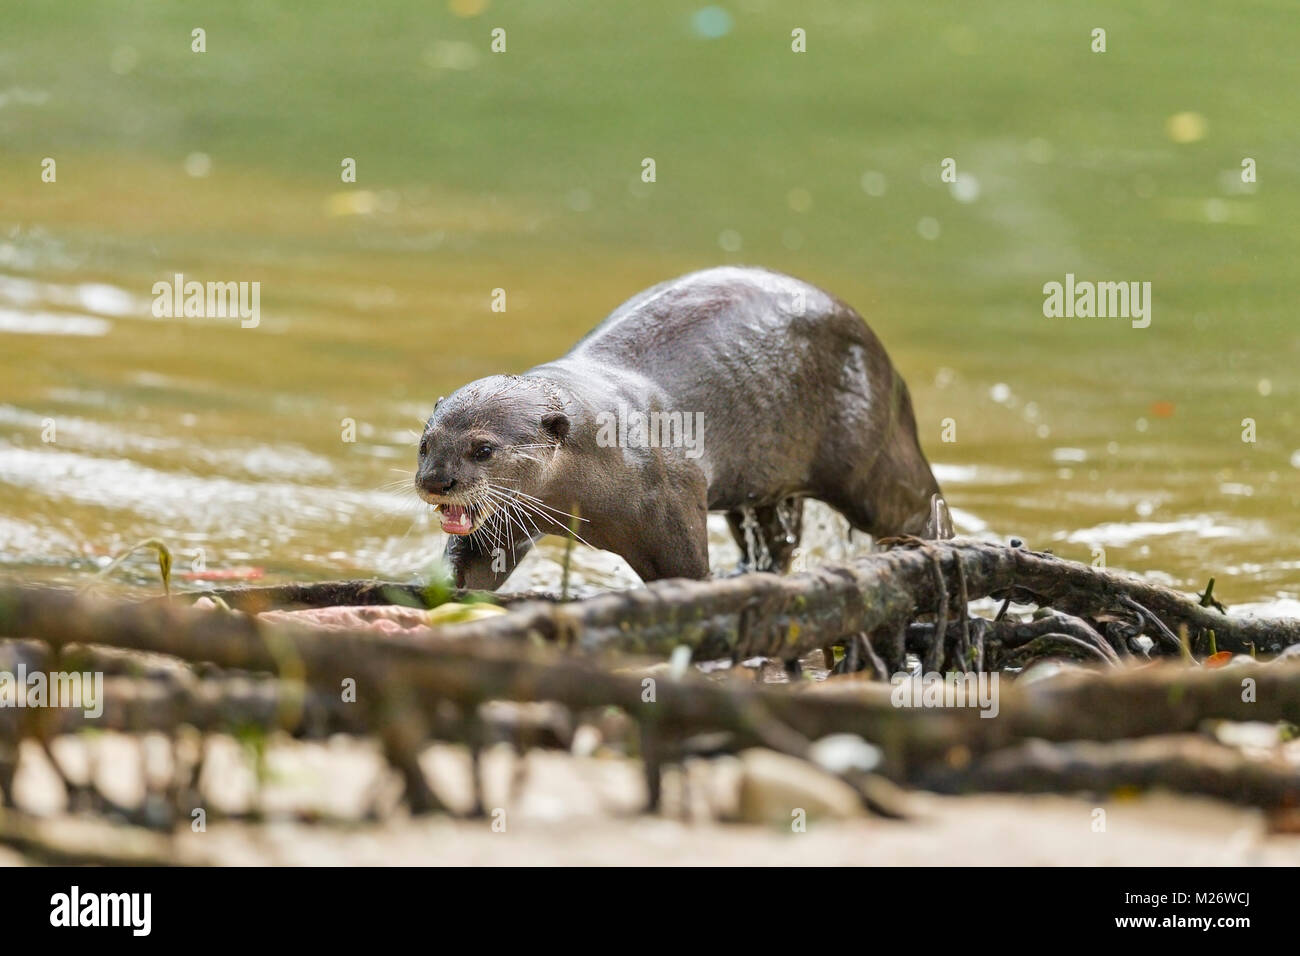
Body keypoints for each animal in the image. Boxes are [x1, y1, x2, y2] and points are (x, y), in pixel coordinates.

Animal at [415, 266, 951, 590]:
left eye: (483, 449)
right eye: (425, 444)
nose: (436, 481)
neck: (607, 455)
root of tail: (889, 366)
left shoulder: (671, 498)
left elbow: (688, 575)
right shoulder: (507, 519)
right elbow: (474, 564)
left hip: (870, 459)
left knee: (916, 502)